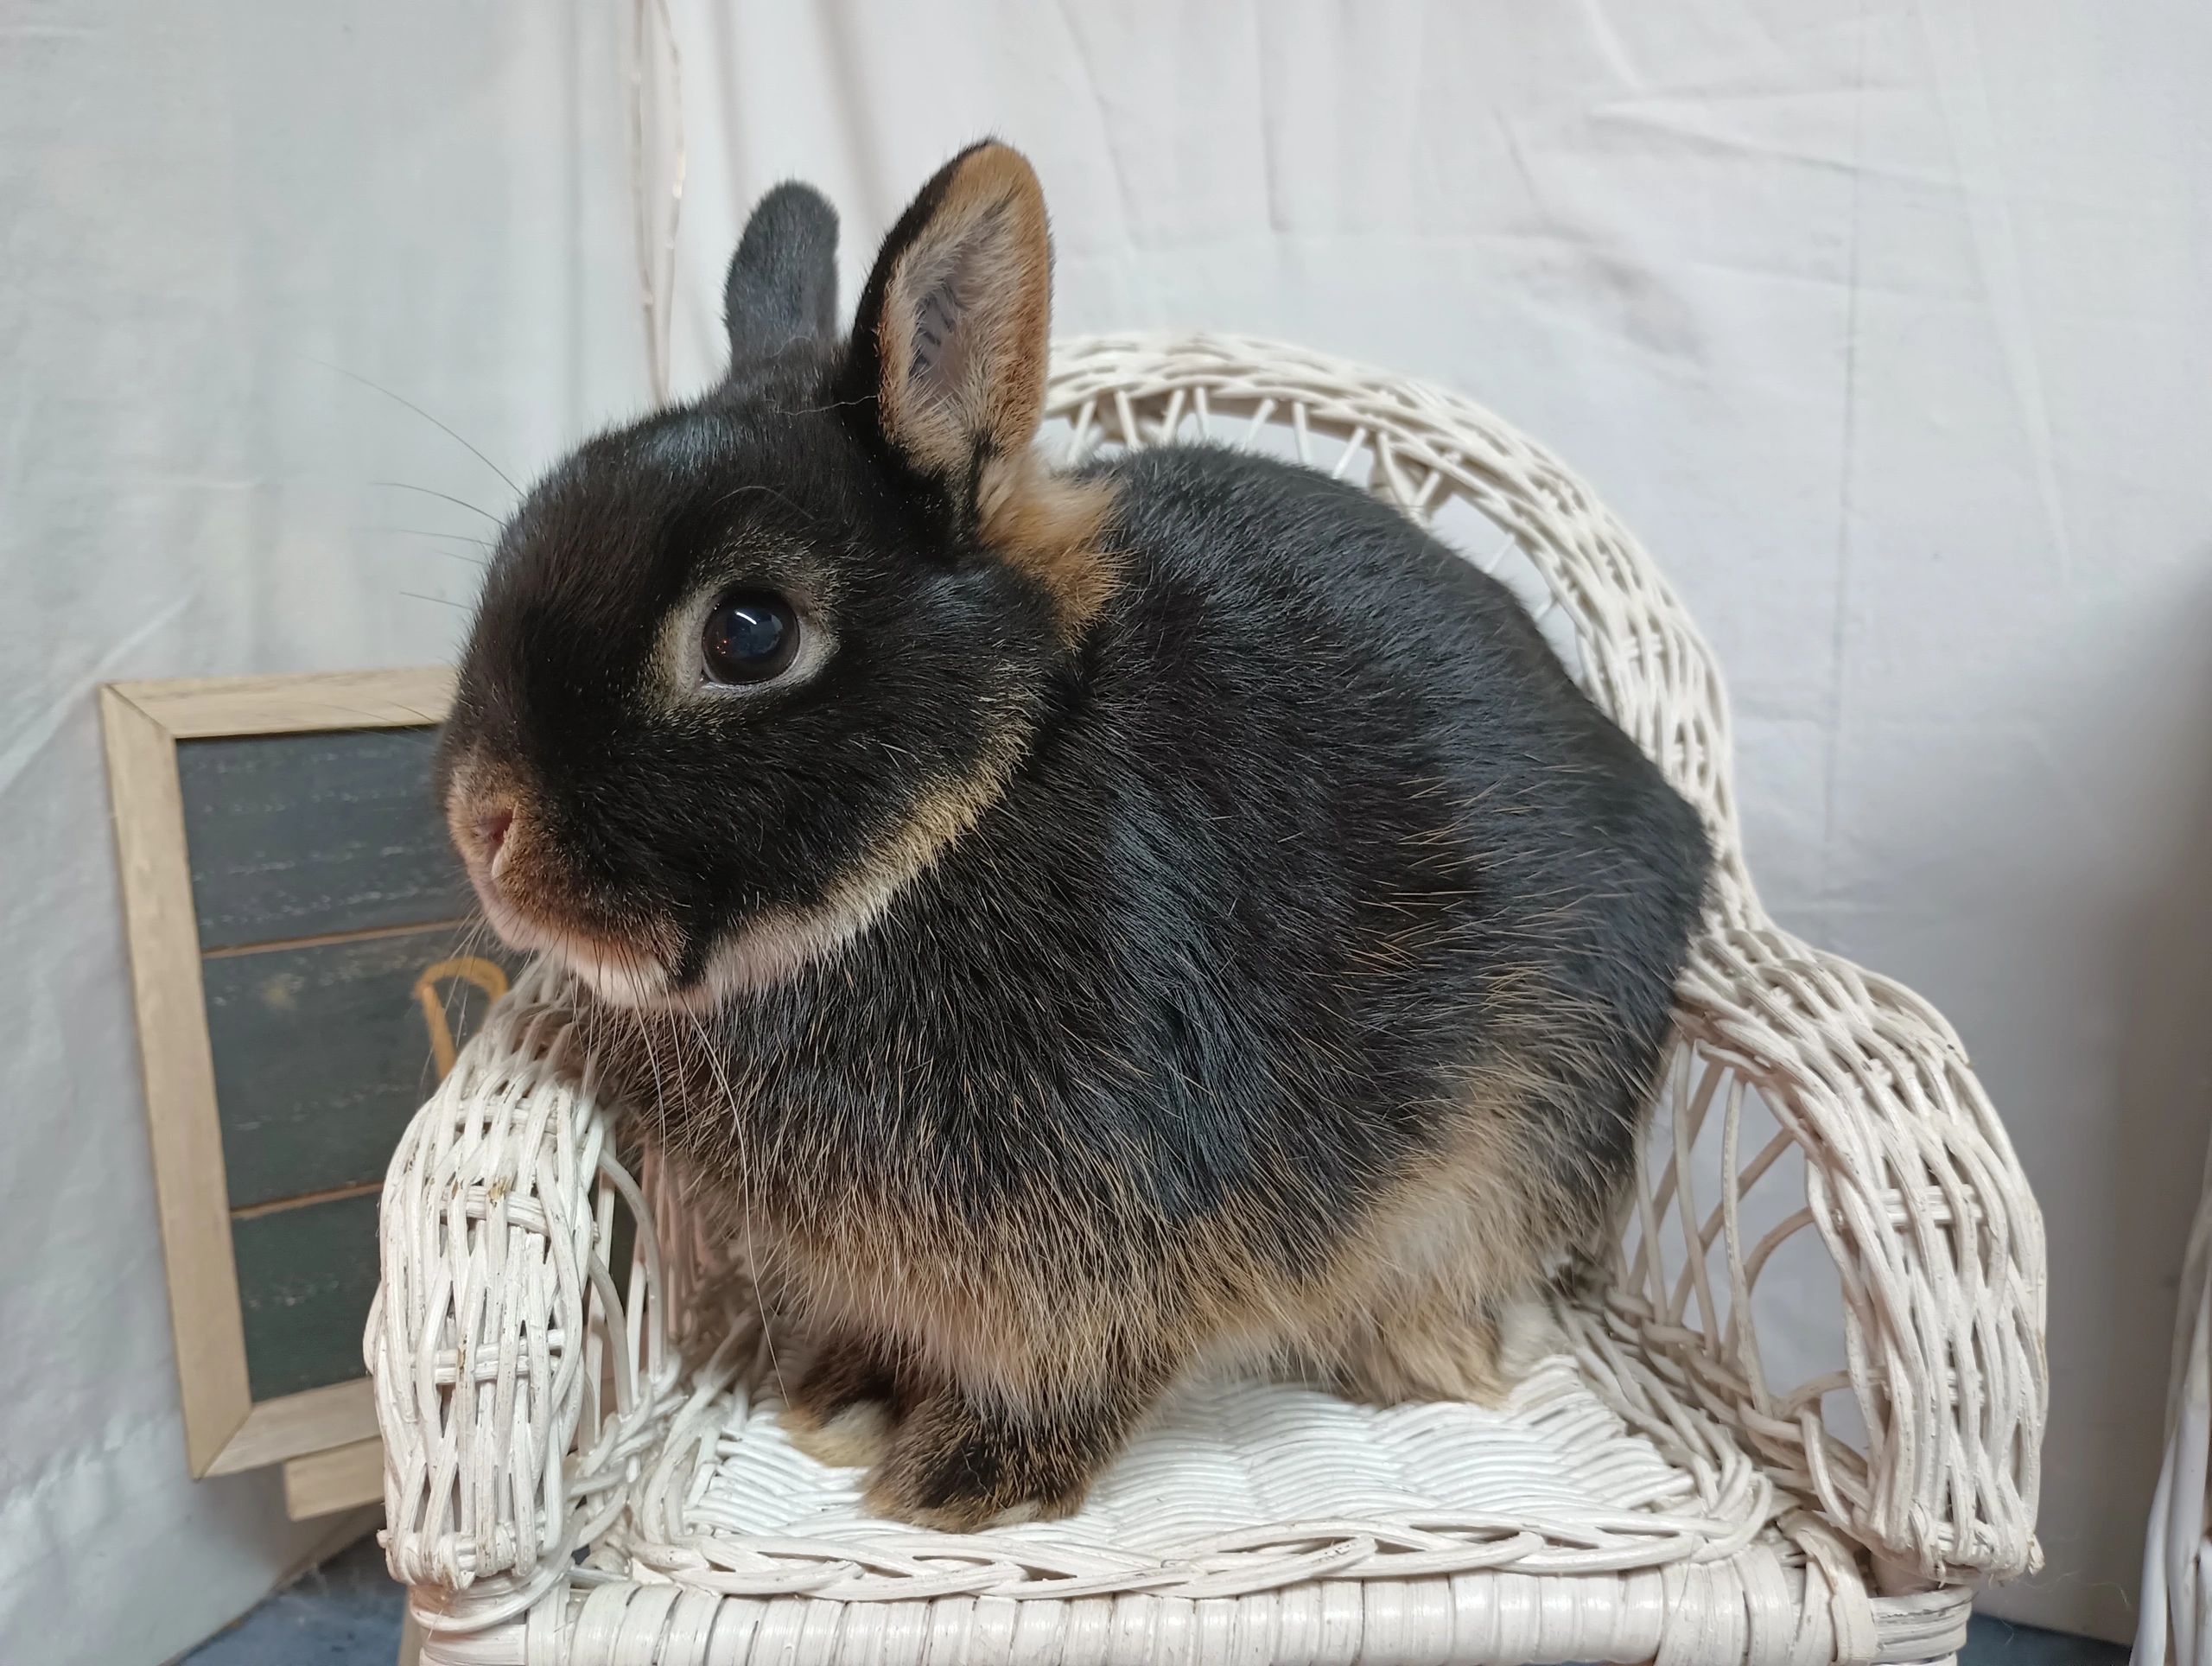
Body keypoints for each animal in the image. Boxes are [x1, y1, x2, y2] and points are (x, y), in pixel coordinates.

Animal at [435, 141, 1712, 1531]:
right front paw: (842, 1401)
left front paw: (955, 1483)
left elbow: (1077, 1363)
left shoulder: (1115, 1230)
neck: (973, 805)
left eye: (749, 634)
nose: (484, 822)